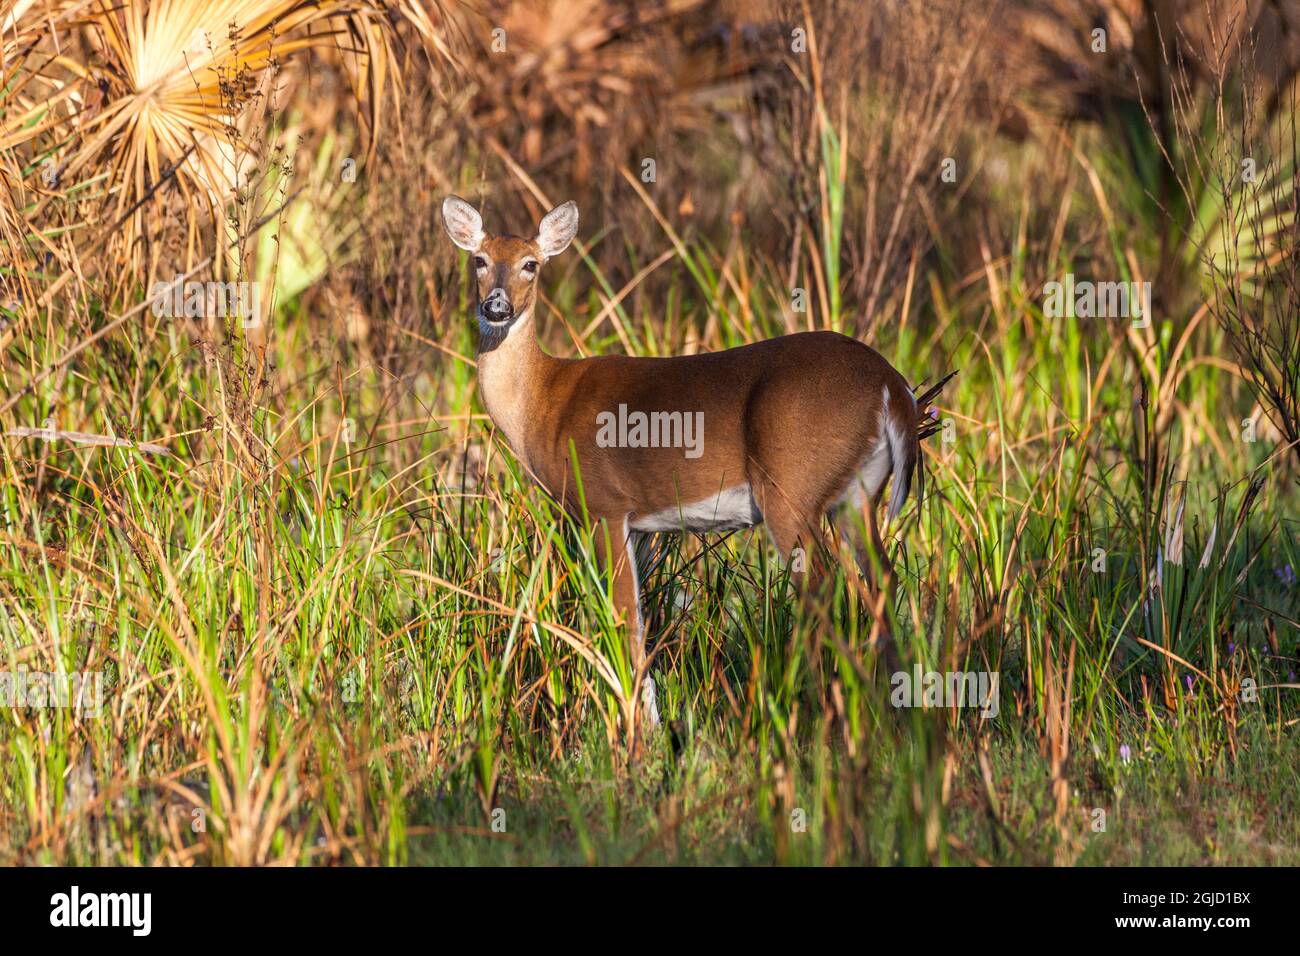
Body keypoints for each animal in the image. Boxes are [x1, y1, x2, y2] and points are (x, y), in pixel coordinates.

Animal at [442, 195, 928, 737]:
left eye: (531, 264)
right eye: (479, 260)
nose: (496, 307)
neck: (543, 403)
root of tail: (893, 386)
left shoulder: (604, 505)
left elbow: (625, 621)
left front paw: (641, 734)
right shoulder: (639, 525)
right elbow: (637, 618)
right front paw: (652, 725)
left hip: (790, 487)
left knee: (823, 589)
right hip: (858, 495)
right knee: (884, 583)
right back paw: (896, 722)